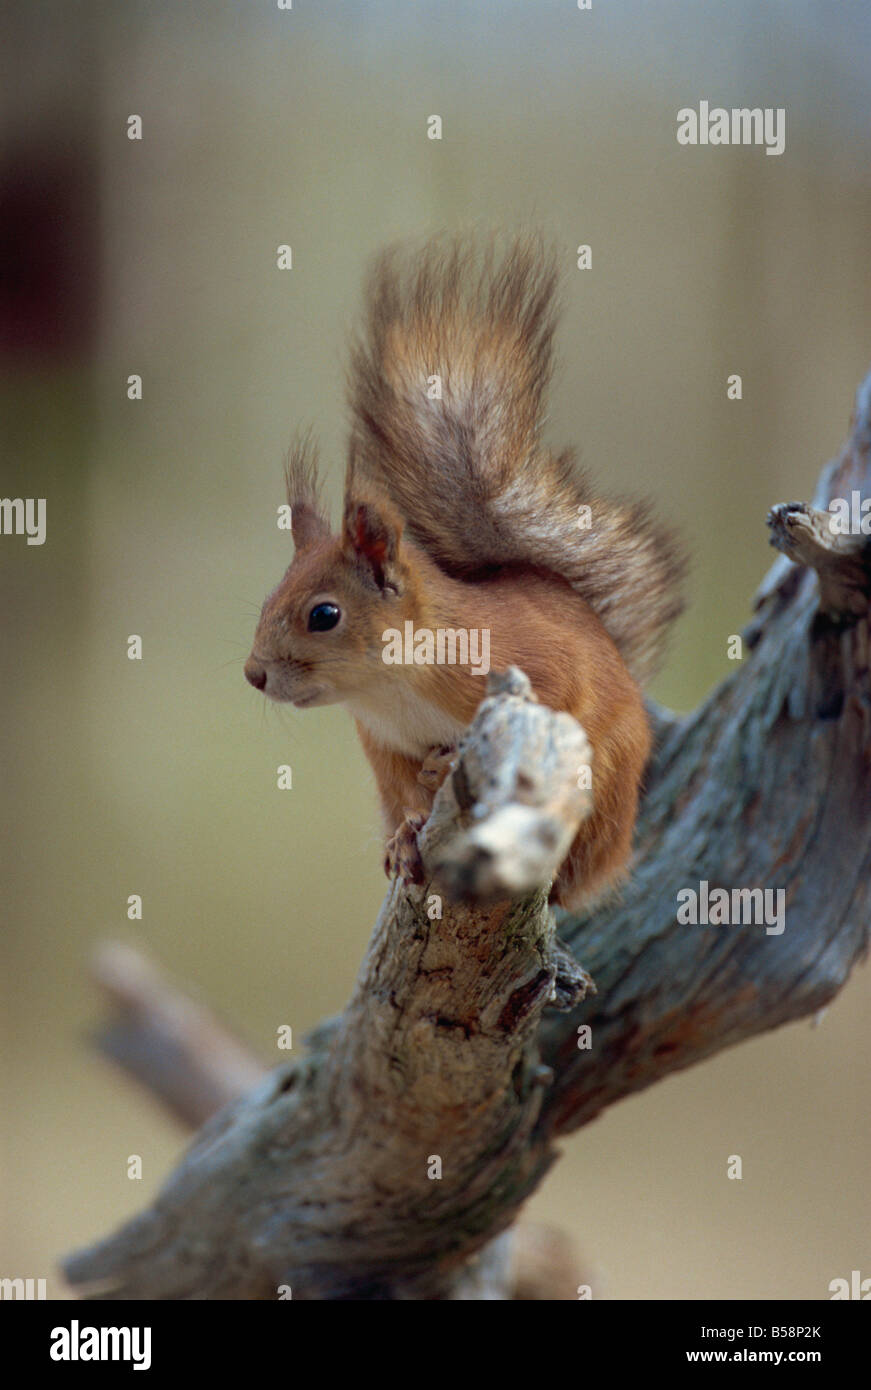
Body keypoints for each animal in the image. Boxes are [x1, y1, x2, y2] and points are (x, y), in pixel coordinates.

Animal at [244, 235, 685, 910]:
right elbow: (404, 796)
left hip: (601, 789)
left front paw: (450, 757)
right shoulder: (383, 749)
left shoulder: (529, 662)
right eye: (269, 600)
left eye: (324, 614)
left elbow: (559, 692)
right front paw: (405, 836)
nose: (254, 674)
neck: (394, 685)